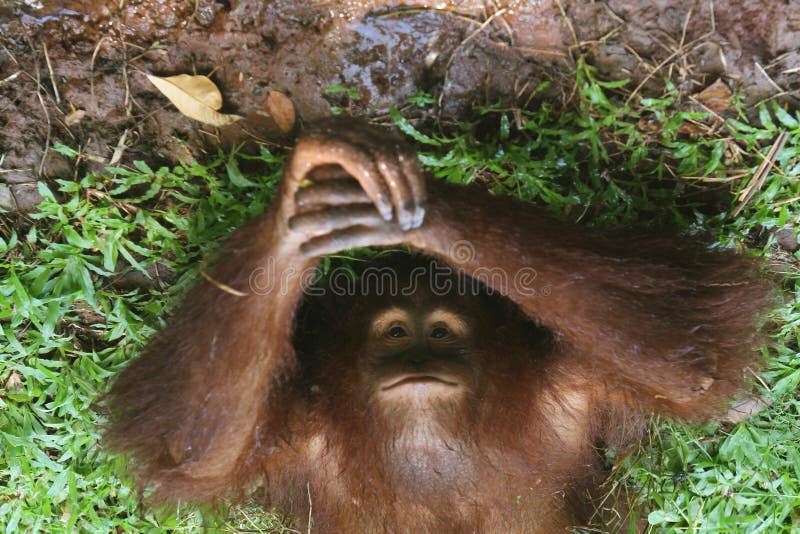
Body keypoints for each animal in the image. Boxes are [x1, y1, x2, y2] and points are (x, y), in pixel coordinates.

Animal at [105, 119, 769, 532]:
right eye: (396, 333)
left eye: (443, 331)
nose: (419, 359)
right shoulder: (299, 435)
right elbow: (193, 454)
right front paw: (304, 192)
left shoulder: (571, 390)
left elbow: (696, 366)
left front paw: (431, 217)